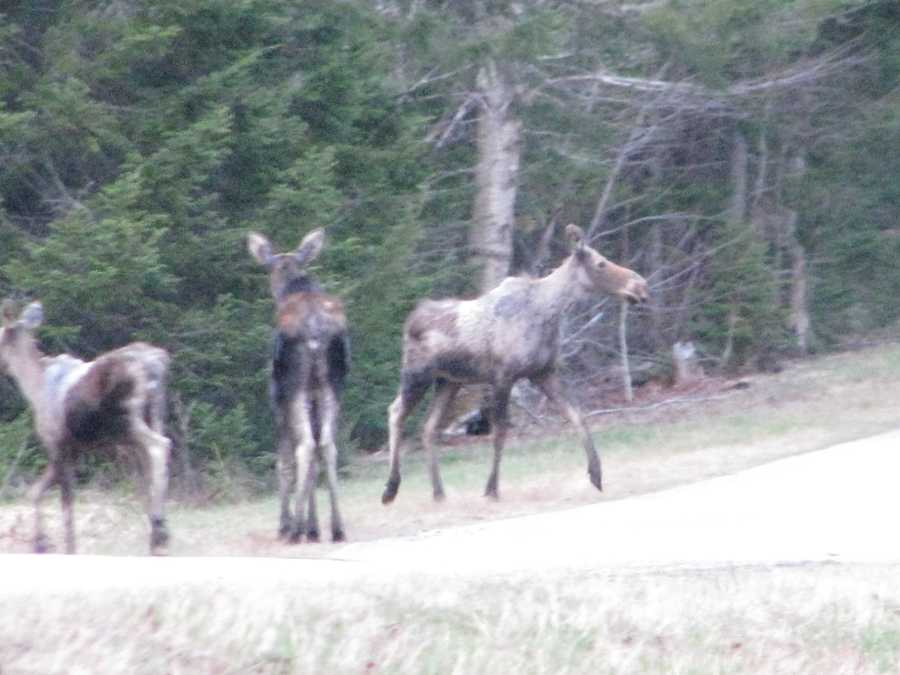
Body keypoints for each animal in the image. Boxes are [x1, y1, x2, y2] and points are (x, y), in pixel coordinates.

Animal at [0, 300, 172, 555]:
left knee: (160, 446)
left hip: (127, 419)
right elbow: (36, 492)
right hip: (154, 416)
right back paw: (158, 531)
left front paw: (60, 545)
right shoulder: (75, 449)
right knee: (155, 460)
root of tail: (156, 364)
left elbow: (64, 501)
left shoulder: (57, 442)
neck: (35, 386)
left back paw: (160, 527)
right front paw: (41, 543)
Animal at [248, 228, 349, 543]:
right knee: (326, 446)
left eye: (268, 267)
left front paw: (290, 524)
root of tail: (315, 331)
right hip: (331, 388)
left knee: (304, 448)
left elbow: (284, 463)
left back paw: (293, 530)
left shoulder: (278, 403)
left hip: (295, 390)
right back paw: (337, 527)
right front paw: (314, 527)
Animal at [382, 224, 649, 505]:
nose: (641, 286)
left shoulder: (544, 372)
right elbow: (500, 432)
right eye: (601, 263)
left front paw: (596, 474)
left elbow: (577, 415)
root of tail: (409, 322)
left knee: (428, 427)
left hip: (449, 381)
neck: (549, 314)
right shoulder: (503, 375)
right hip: (417, 373)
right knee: (396, 411)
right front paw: (491, 489)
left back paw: (438, 492)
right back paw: (391, 489)